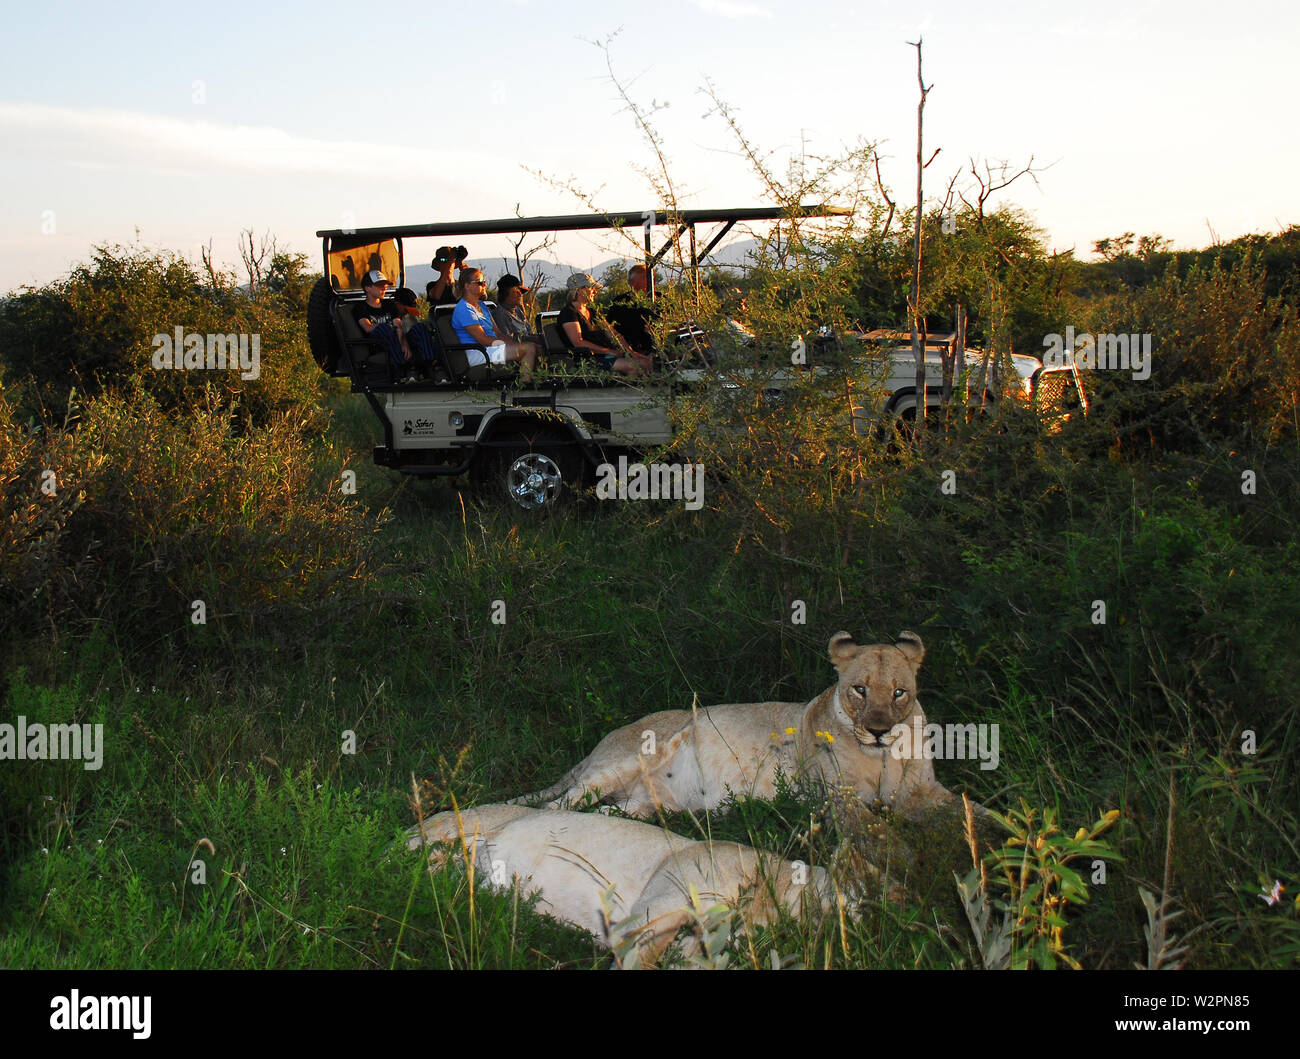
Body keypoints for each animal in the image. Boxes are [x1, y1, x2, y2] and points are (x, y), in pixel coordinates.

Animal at [514, 630, 971, 818]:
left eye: (899, 693)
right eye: (859, 689)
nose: (878, 731)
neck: (882, 758)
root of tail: (597, 746)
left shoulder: (924, 791)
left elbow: (968, 809)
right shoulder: (839, 795)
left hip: (647, 804)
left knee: (614, 809)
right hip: (627, 759)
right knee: (560, 803)